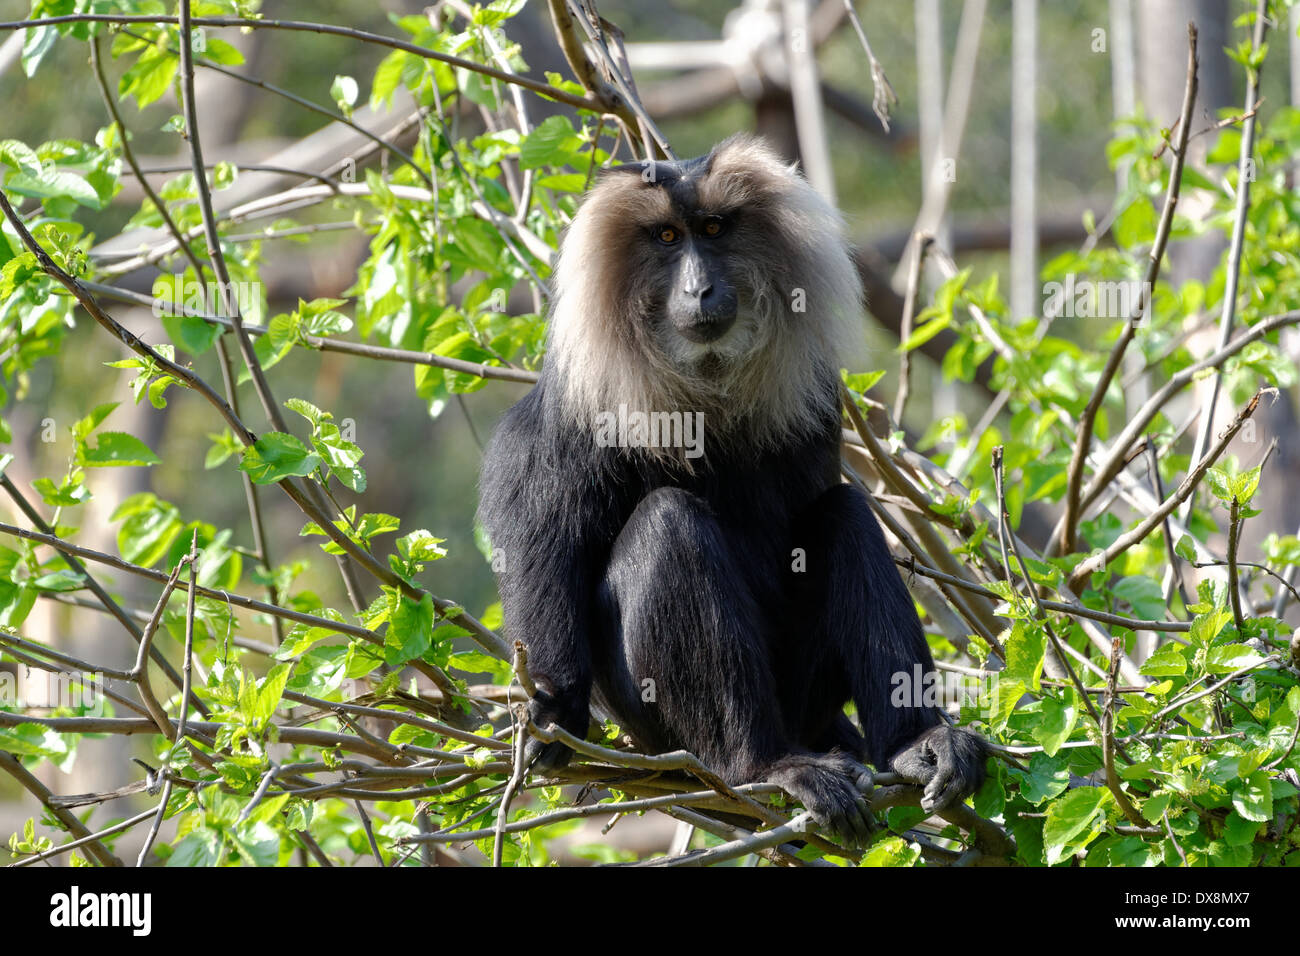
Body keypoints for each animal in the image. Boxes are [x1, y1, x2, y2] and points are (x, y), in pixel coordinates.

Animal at [478, 134, 987, 845]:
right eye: (666, 237)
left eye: (715, 230)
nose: (701, 288)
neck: (704, 389)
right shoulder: (571, 410)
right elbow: (540, 537)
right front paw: (553, 716)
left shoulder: (816, 399)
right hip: (653, 718)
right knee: (668, 522)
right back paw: (766, 766)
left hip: (806, 698)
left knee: (842, 511)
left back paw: (916, 745)